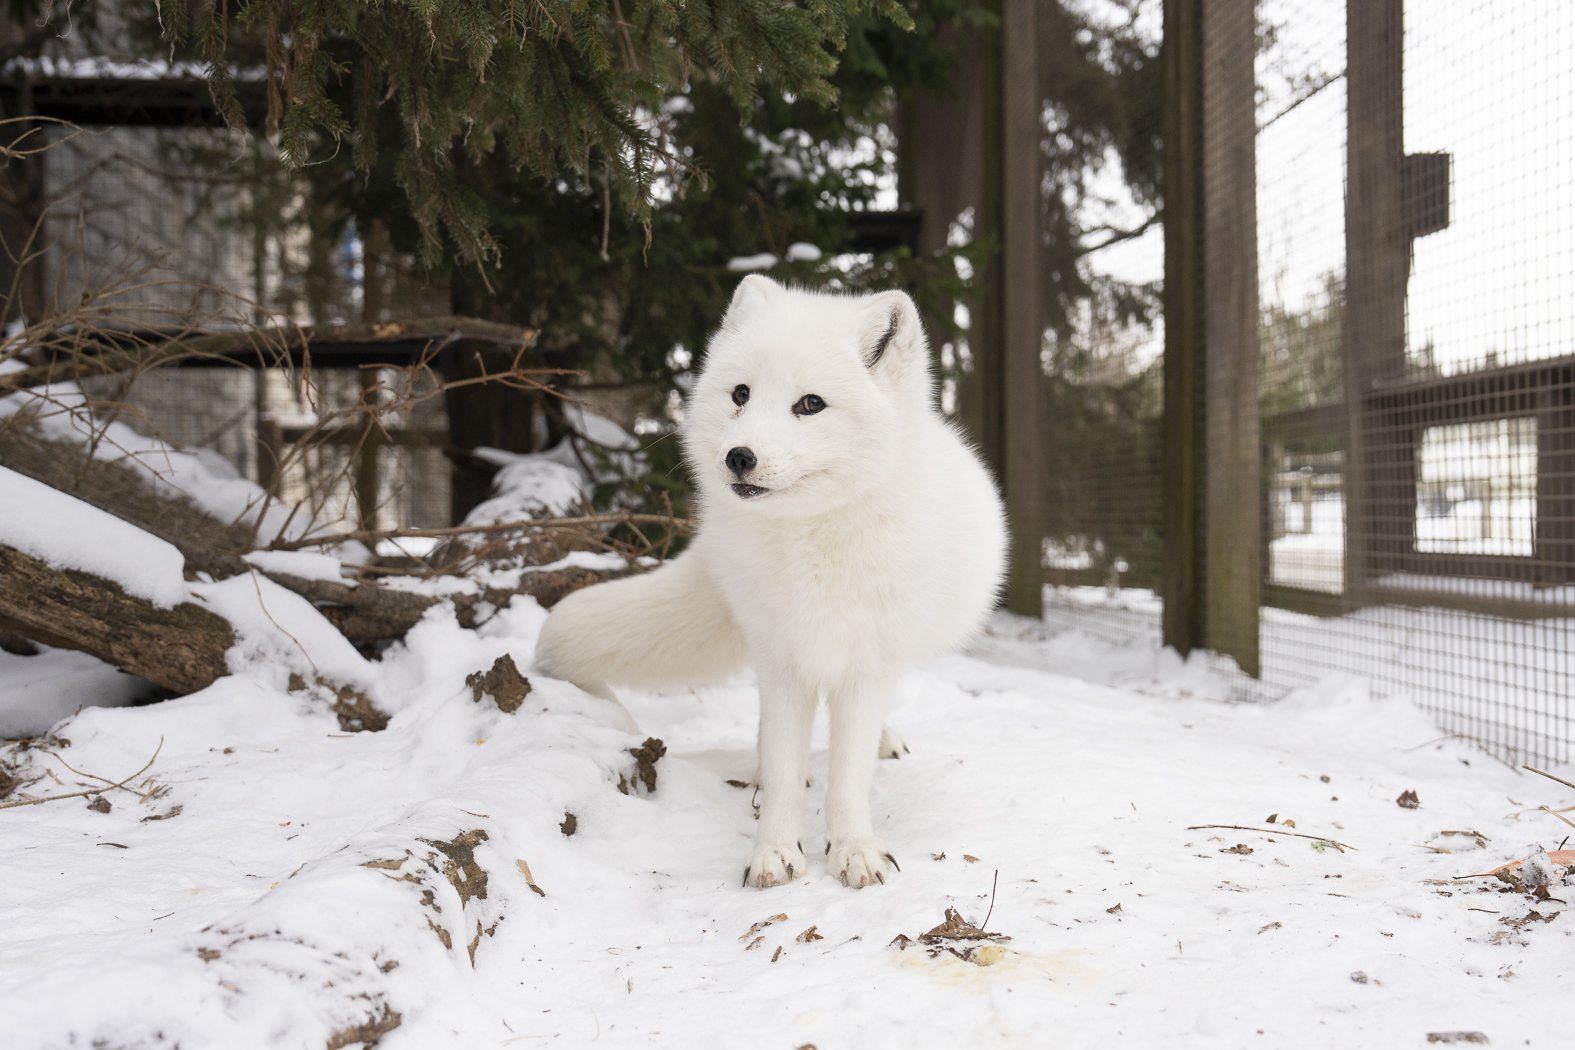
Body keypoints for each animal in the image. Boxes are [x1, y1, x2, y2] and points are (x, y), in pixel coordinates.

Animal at [534, 275, 1007, 889]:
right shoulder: (782, 657)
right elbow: (784, 764)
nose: (739, 457)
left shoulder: (864, 665)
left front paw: (853, 848)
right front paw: (776, 849)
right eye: (741, 394)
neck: (811, 545)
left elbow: (849, 774)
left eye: (810, 404)